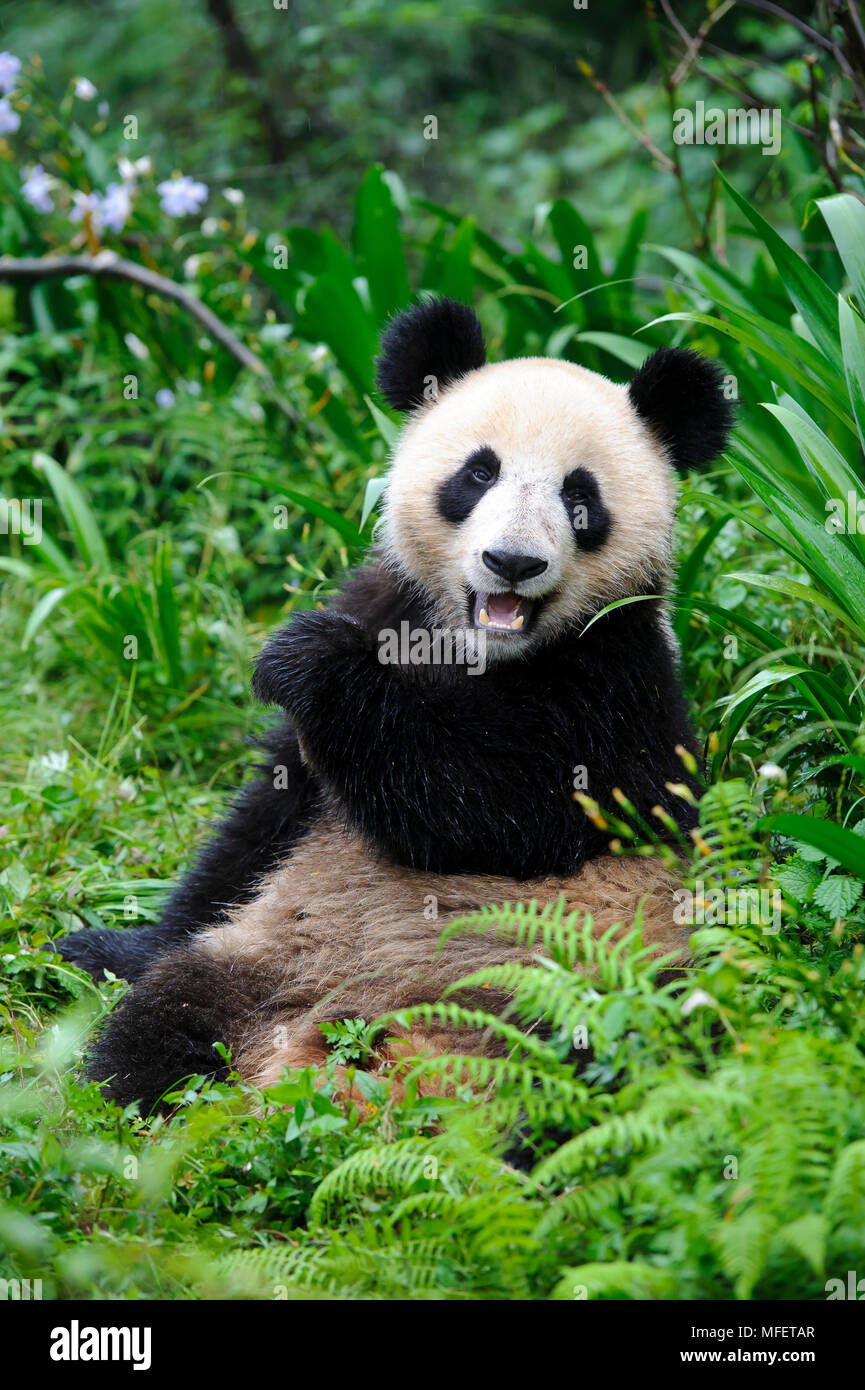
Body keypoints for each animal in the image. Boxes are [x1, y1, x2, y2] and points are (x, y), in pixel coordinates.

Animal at [59, 296, 733, 1111]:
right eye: (478, 472)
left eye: (580, 496)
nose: (512, 562)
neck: (479, 649)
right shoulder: (391, 607)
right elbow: (266, 821)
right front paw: (107, 946)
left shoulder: (618, 680)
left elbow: (503, 807)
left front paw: (308, 660)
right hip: (270, 957)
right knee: (165, 1023)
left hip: (612, 990)